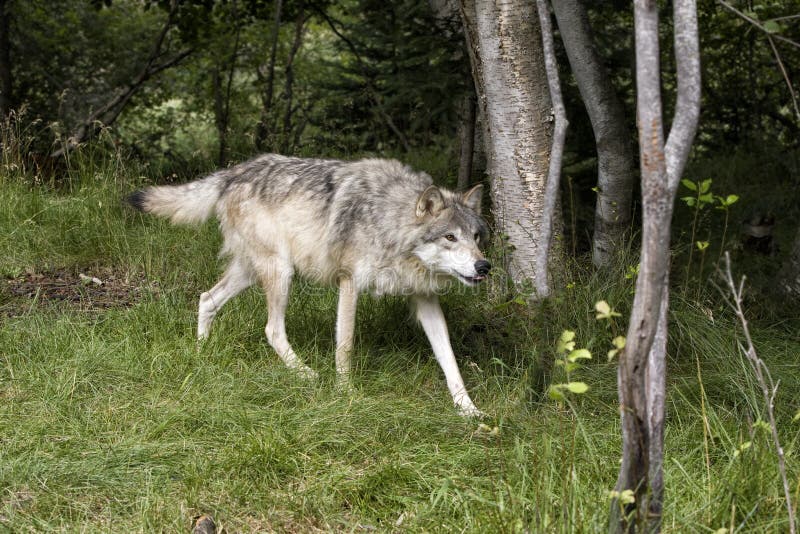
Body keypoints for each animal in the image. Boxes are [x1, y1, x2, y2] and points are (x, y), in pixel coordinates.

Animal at [128, 154, 492, 417]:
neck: (389, 220)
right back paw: (305, 374)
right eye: (450, 237)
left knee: (207, 299)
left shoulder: (425, 298)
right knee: (271, 329)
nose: (484, 266)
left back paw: (202, 354)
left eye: (475, 237)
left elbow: (449, 360)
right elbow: (344, 346)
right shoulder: (349, 283)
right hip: (281, 273)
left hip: (251, 272)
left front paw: (469, 410)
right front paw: (346, 395)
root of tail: (236, 171)